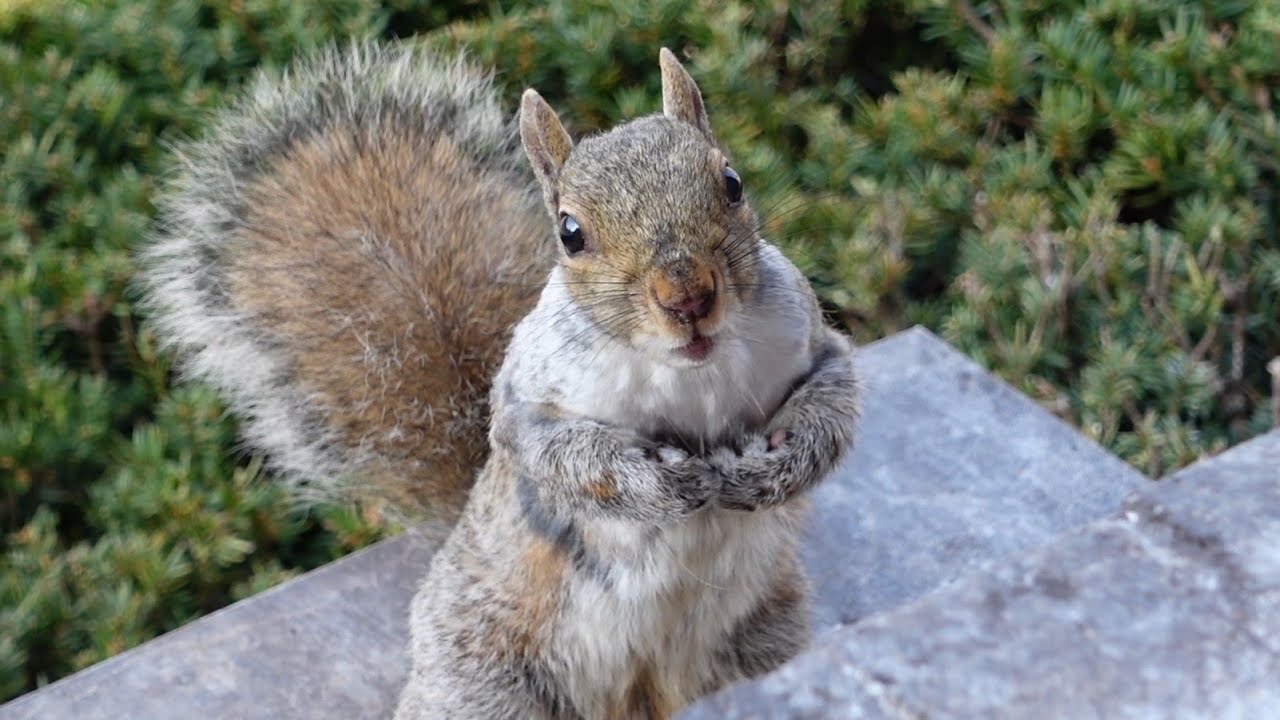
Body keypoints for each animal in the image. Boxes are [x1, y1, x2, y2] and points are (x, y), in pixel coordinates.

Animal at [140, 42, 860, 720]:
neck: (690, 371)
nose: (687, 296)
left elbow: (835, 401)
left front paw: (779, 465)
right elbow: (560, 455)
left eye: (731, 182)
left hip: (757, 641)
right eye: (570, 232)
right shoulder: (528, 397)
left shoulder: (806, 336)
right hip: (484, 677)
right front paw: (655, 481)